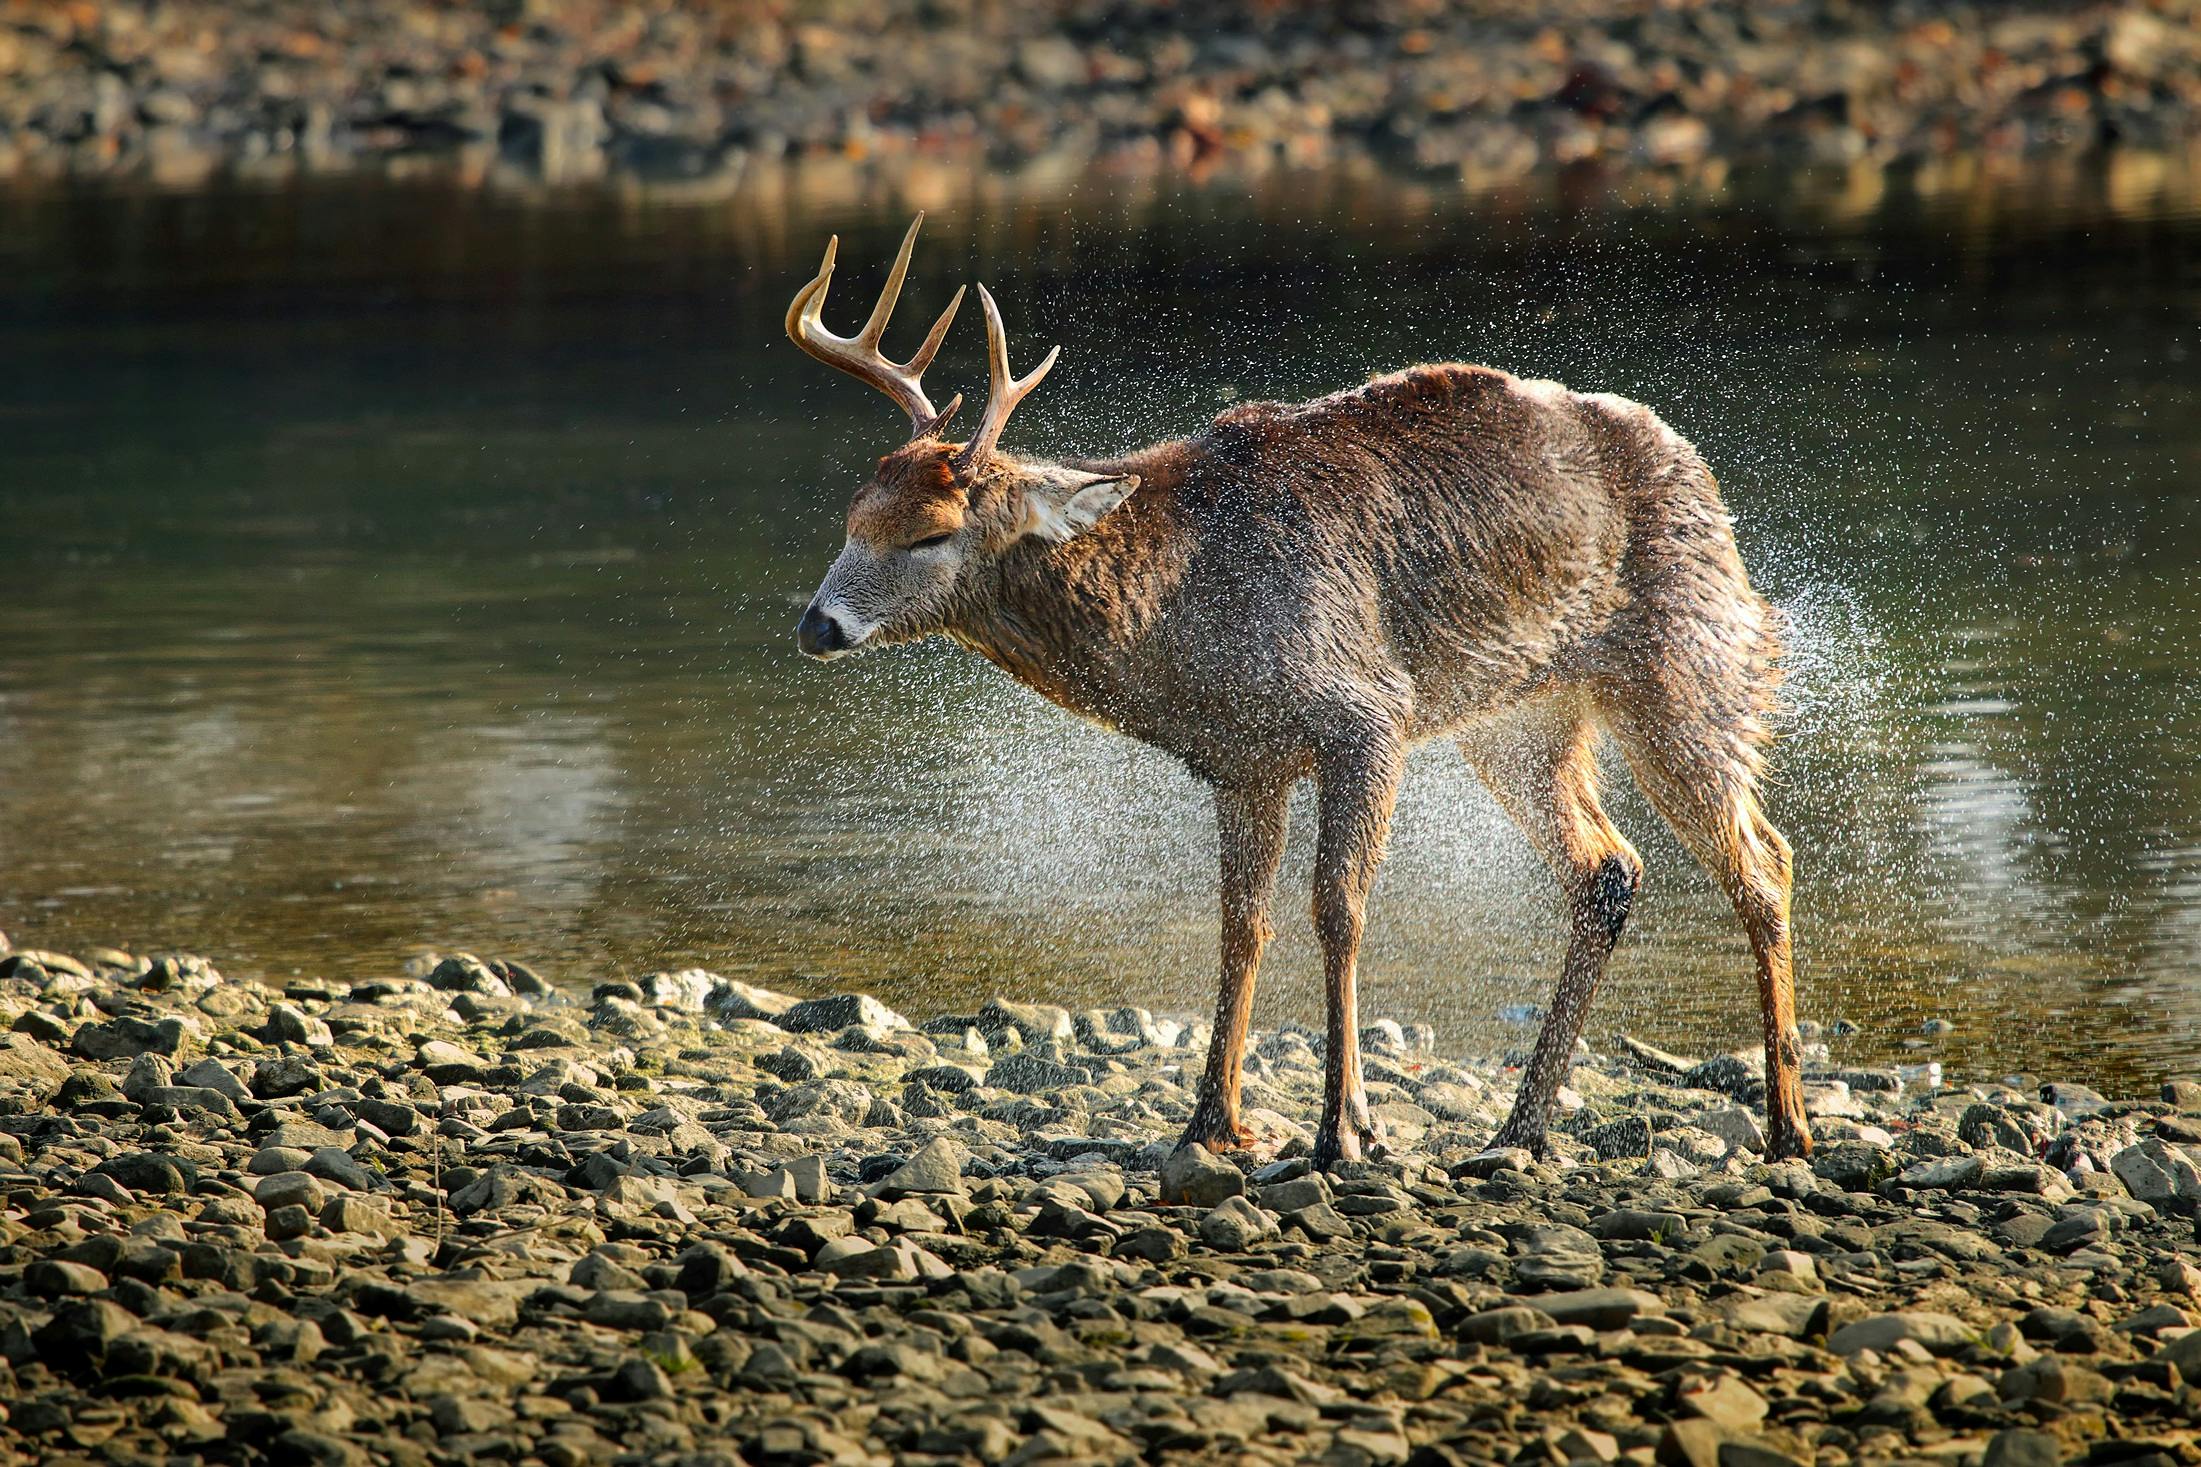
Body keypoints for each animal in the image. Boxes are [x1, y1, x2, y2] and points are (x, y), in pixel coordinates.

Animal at [783, 215, 1815, 1174]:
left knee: (1763, 858)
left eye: (930, 533)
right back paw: (1517, 1130)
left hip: (1687, 660)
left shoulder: (1367, 710)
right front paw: (1209, 1122)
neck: (1182, 623)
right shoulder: (1242, 761)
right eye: (852, 516)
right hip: (1521, 721)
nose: (816, 625)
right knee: (1608, 867)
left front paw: (1344, 1127)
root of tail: (1699, 471)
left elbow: (1337, 907)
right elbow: (1242, 925)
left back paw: (1786, 1126)